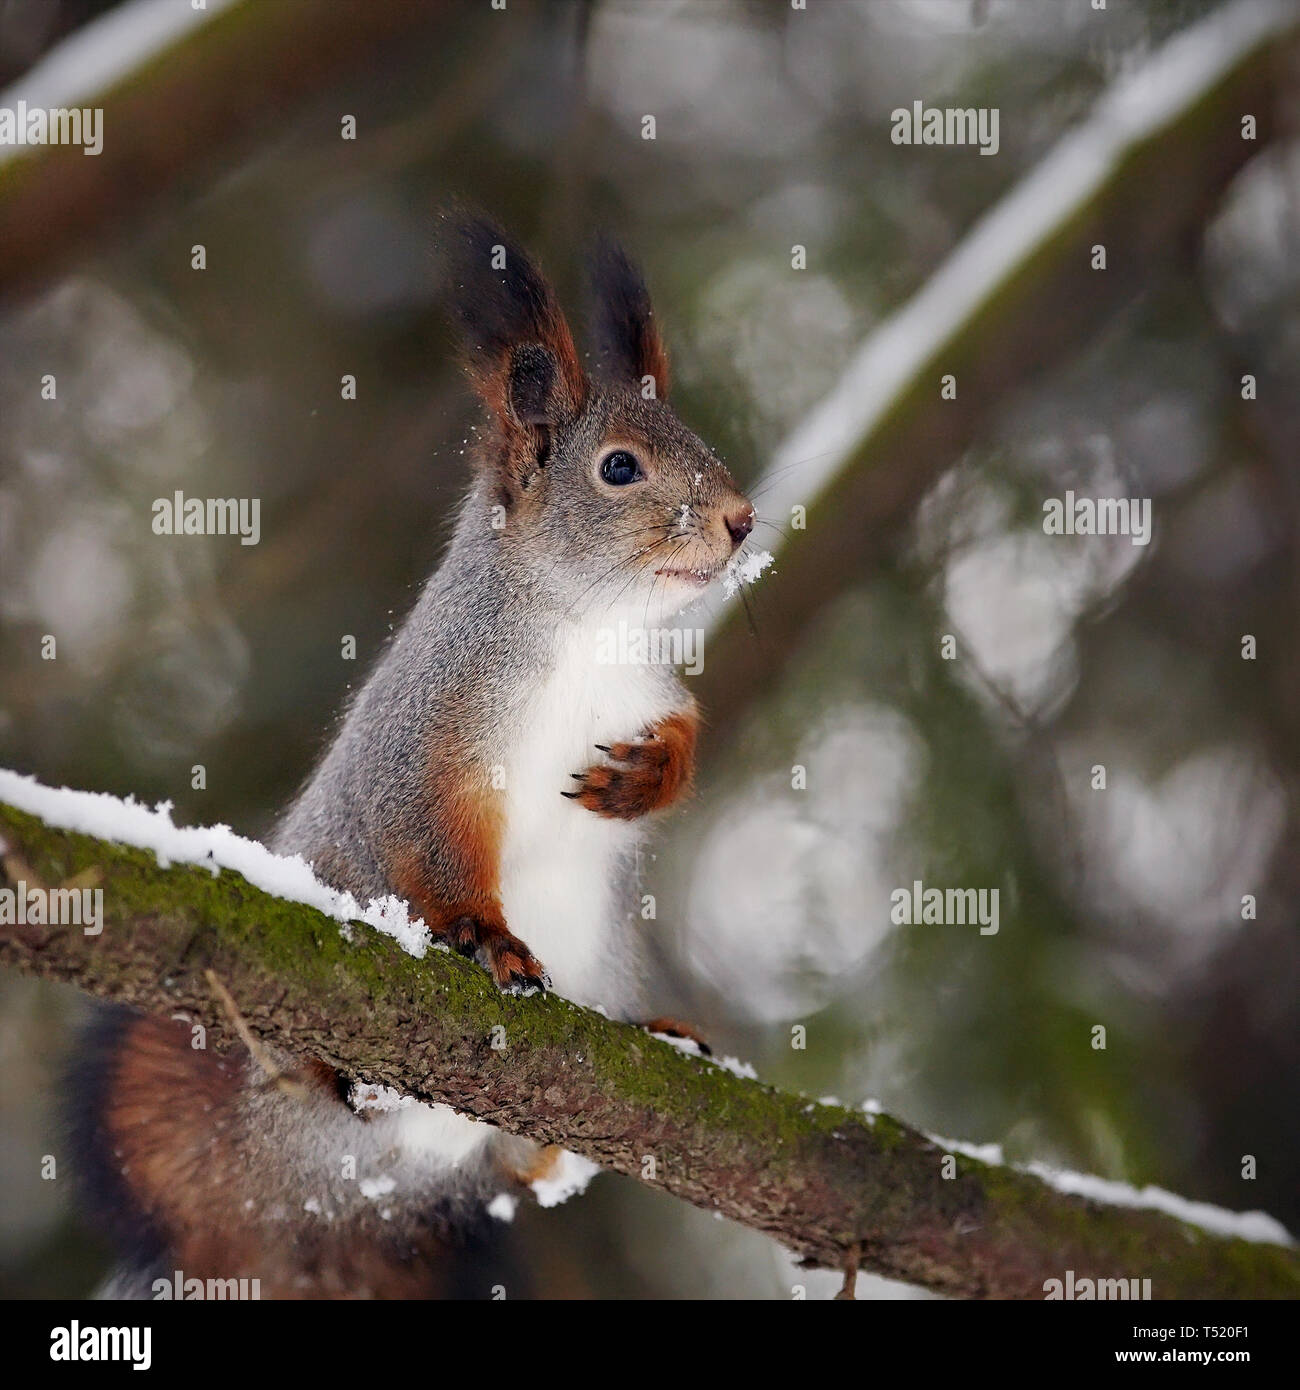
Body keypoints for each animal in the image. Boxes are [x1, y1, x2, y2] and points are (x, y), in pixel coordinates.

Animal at [70, 215, 756, 1300]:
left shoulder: (649, 691)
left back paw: (646, 1039)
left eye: (701, 442)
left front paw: (642, 778)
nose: (741, 520)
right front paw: (488, 938)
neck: (587, 628)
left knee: (531, 1163)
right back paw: (365, 1083)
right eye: (619, 469)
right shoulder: (434, 732)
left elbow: (683, 736)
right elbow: (434, 838)